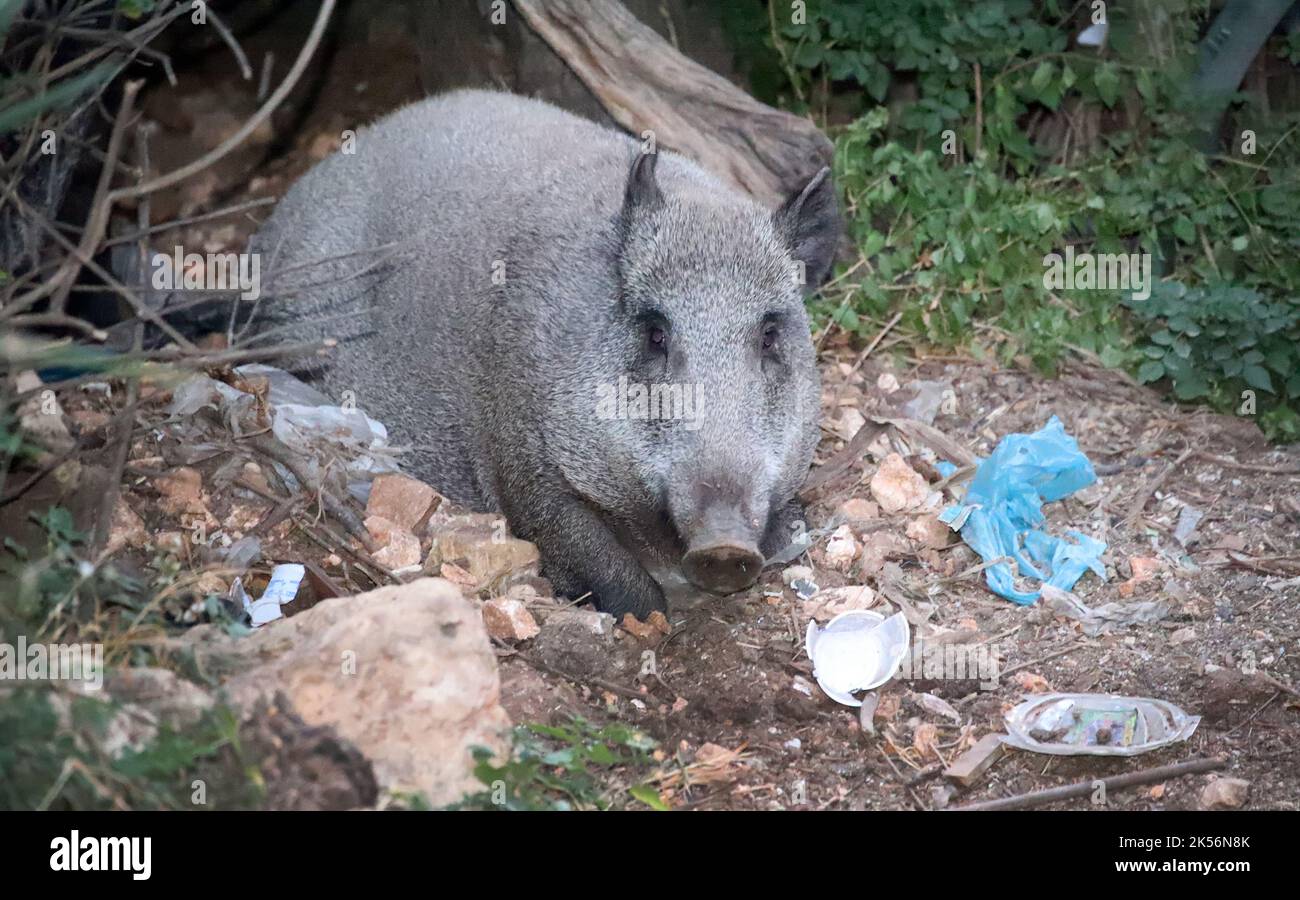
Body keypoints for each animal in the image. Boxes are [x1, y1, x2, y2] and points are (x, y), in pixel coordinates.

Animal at [251, 89, 839, 618]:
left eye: (769, 335)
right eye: (655, 333)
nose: (724, 549)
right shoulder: (511, 445)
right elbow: (592, 557)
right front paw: (650, 611)